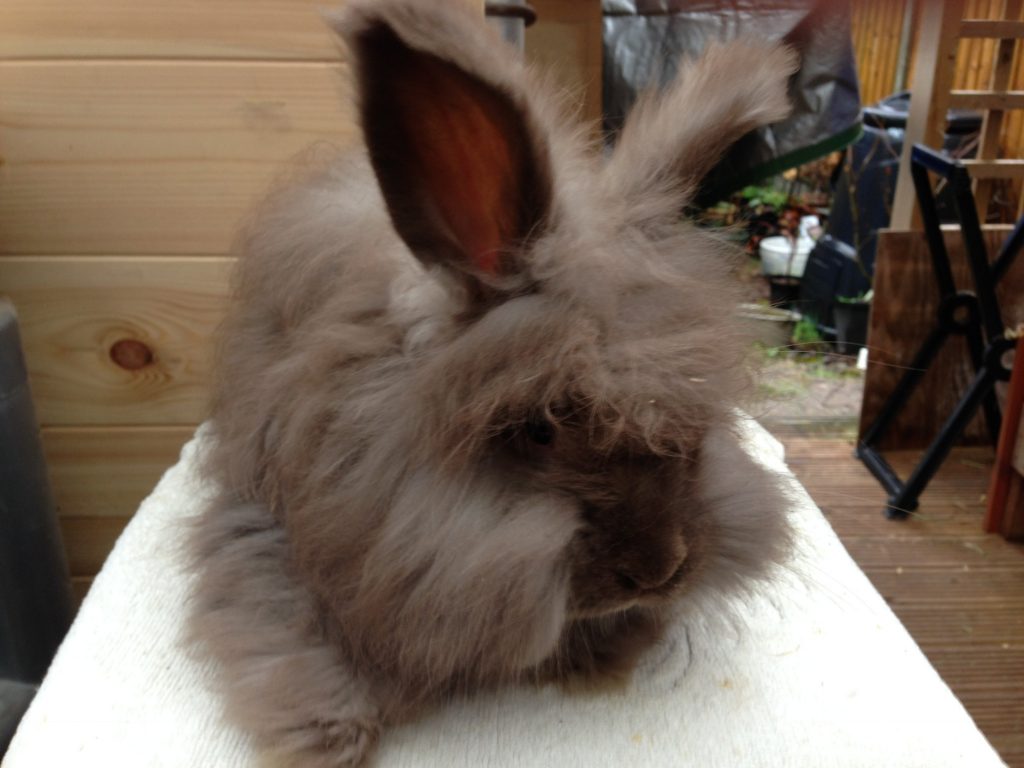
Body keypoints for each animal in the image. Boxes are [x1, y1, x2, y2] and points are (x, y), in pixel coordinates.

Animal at [186, 1, 800, 766]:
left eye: (698, 424)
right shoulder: (261, 523)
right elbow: (282, 619)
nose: (661, 571)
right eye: (538, 431)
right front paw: (330, 731)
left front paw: (611, 646)